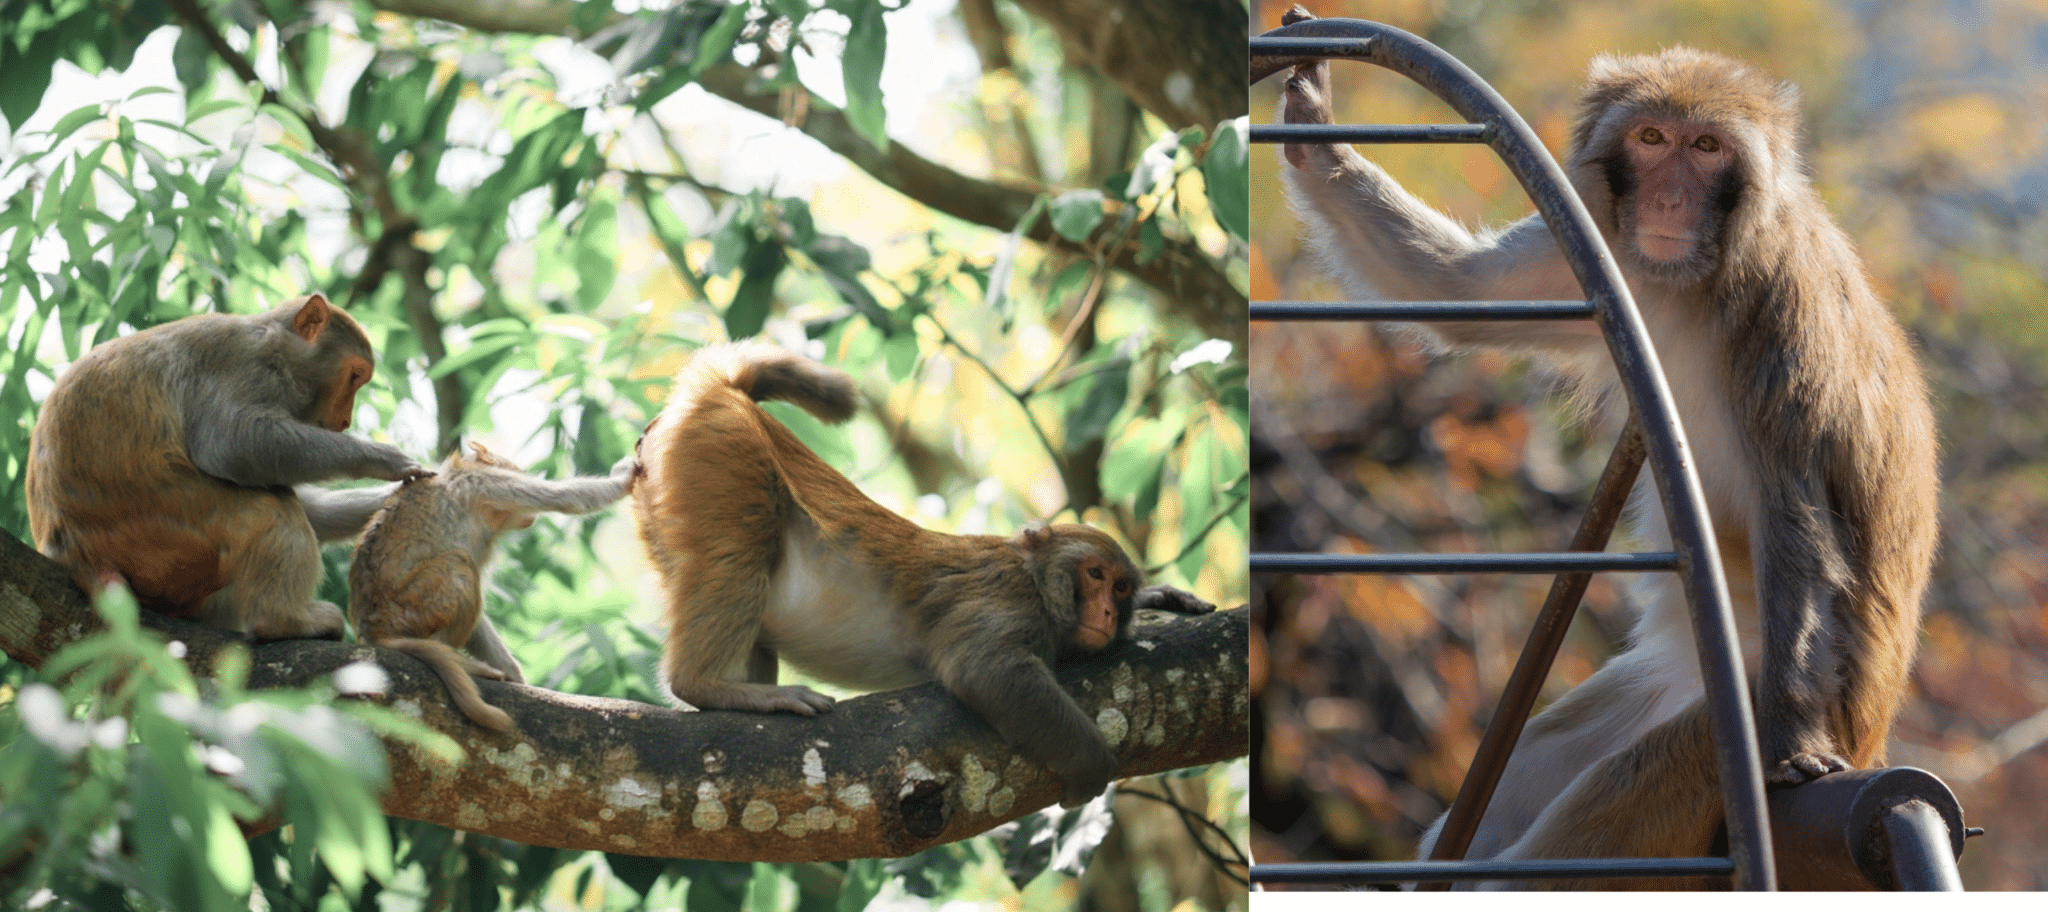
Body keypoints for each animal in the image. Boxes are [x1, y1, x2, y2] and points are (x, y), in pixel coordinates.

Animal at [25, 293, 431, 641]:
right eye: (355, 375)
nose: (344, 421)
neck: (276, 348)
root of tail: (73, 553)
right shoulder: (241, 363)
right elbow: (231, 444)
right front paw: (386, 459)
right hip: (161, 532)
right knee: (269, 508)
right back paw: (281, 620)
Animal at [347, 442, 639, 731]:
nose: (530, 518)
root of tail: (372, 629)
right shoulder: (488, 483)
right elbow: (569, 497)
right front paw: (623, 476)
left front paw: (515, 677)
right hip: (410, 608)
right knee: (459, 566)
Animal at [633, 342, 1214, 807]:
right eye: (1094, 574)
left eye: (1121, 585)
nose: (1110, 610)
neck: (1034, 580)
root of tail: (725, 394)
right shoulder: (1005, 604)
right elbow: (988, 670)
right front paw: (1093, 767)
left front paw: (1161, 600)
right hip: (723, 449)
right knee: (740, 551)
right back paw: (711, 685)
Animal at [1275, 15, 1939, 889]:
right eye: (1653, 139)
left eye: (1707, 149)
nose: (1669, 197)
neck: (1692, 278)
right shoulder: (1609, 252)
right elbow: (1463, 294)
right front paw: (1315, 125)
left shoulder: (1781, 309)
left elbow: (1796, 521)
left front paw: (1796, 747)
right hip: (1652, 689)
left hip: (1722, 731)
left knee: (1618, 800)